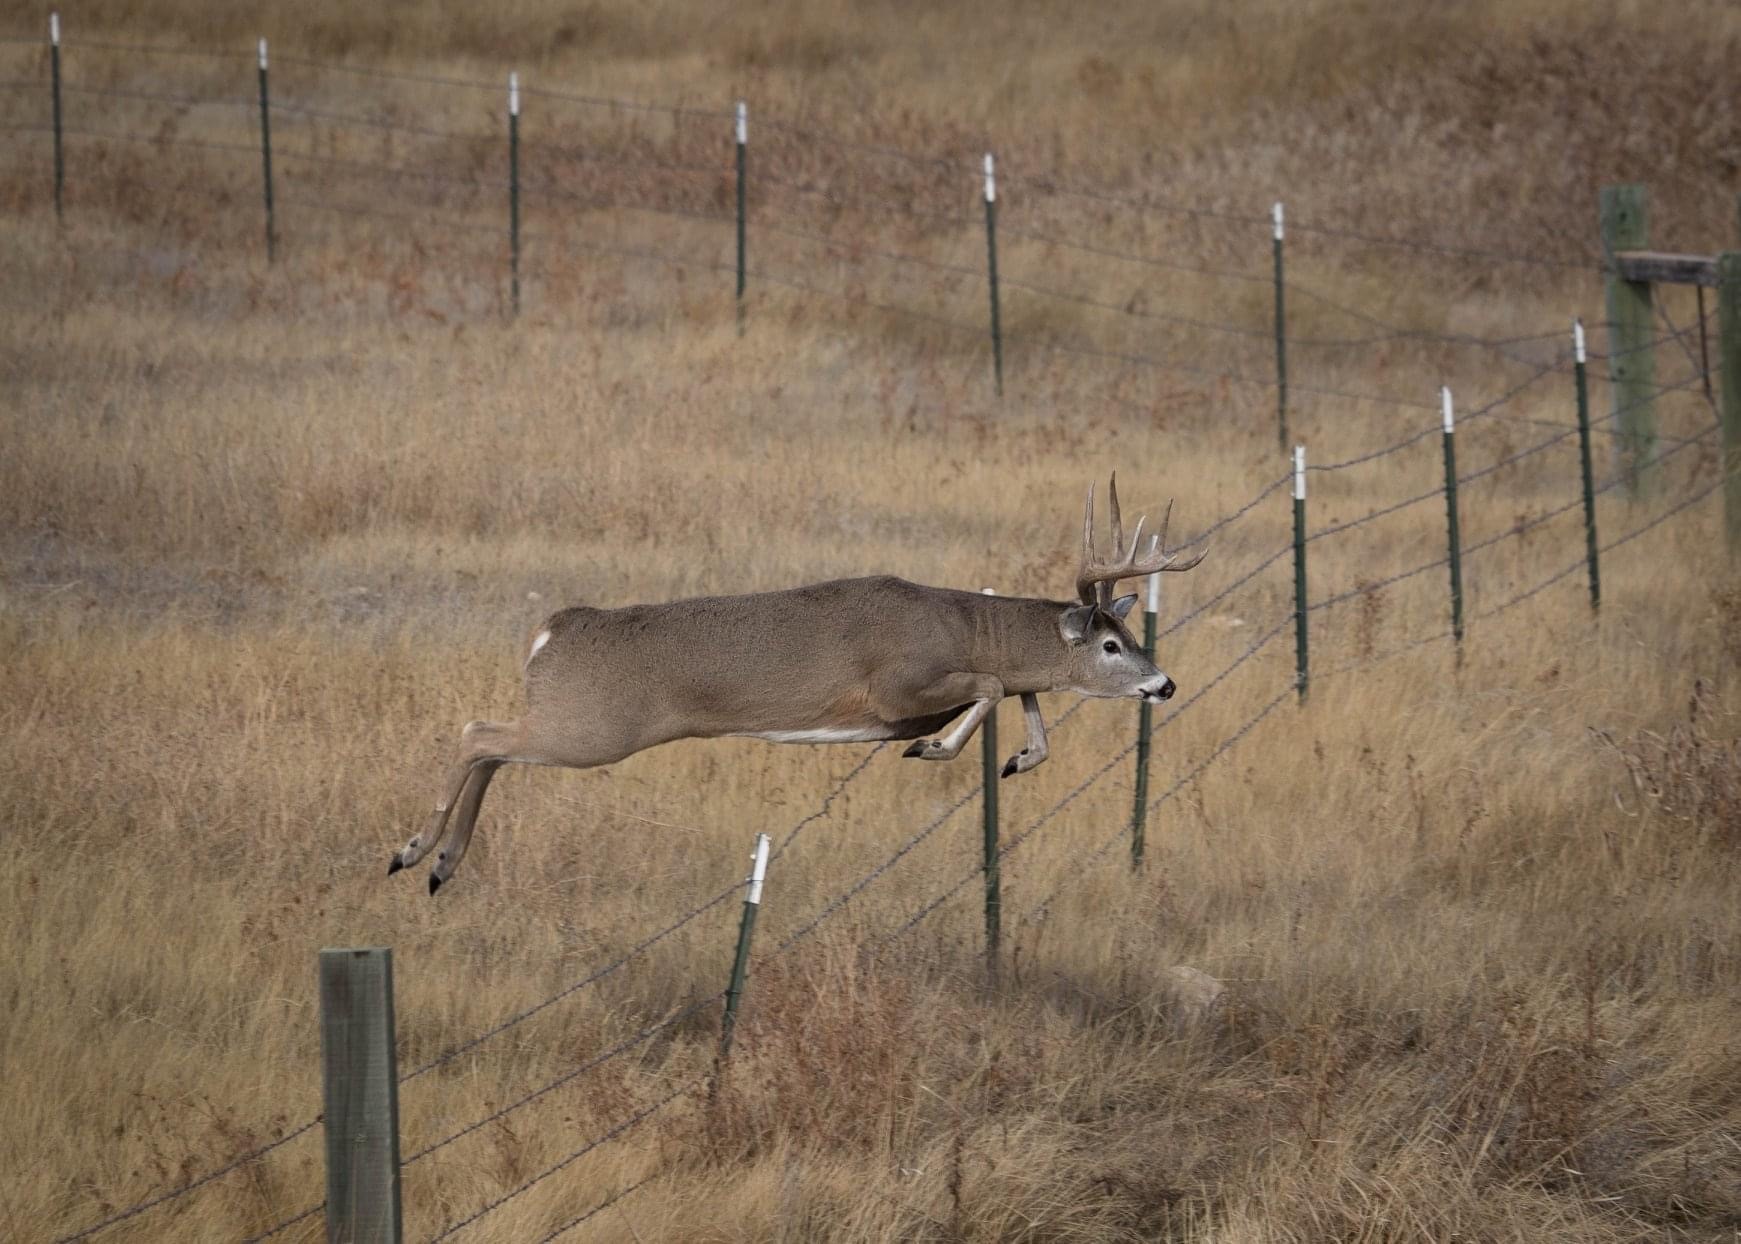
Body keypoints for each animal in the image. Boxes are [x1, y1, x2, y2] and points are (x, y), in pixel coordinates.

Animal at [390, 475, 1206, 893]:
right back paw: (413, 849)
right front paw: (939, 752)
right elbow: (990, 686)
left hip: (571, 725)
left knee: (494, 748)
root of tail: (551, 630)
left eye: (1131, 640)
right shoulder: (893, 689)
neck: (960, 623)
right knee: (478, 733)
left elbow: (1015, 691)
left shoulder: (923, 698)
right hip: (591, 727)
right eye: (1111, 645)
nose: (1164, 685)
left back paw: (441, 866)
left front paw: (1017, 757)